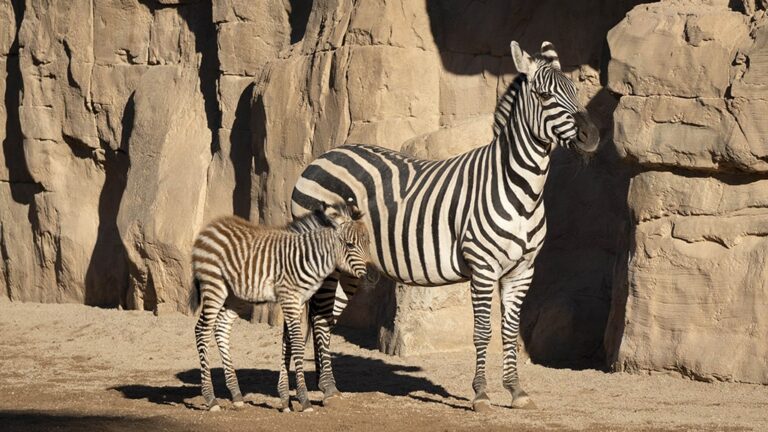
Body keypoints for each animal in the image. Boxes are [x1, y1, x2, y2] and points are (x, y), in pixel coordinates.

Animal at [189, 202, 371, 412]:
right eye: (350, 245)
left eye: (368, 244)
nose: (369, 277)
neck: (308, 257)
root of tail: (210, 227)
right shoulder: (290, 299)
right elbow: (298, 344)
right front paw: (304, 400)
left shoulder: (297, 301)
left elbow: (288, 343)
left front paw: (286, 400)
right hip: (214, 284)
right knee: (202, 330)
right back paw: (211, 399)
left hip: (235, 294)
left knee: (221, 327)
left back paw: (236, 395)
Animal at [289, 41, 600, 411]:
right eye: (543, 95)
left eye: (574, 91)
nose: (592, 136)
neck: (521, 189)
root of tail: (323, 157)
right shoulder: (483, 266)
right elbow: (483, 331)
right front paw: (481, 394)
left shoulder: (522, 270)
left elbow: (510, 331)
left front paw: (516, 391)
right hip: (321, 260)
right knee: (318, 318)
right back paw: (322, 389)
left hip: (348, 267)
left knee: (324, 317)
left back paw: (326, 388)